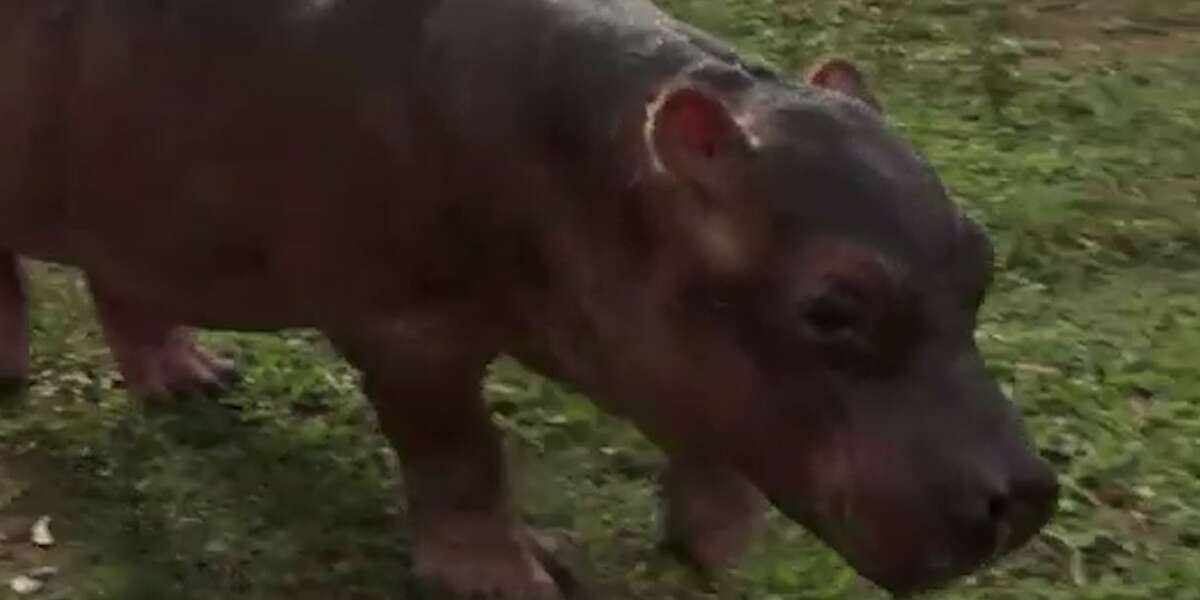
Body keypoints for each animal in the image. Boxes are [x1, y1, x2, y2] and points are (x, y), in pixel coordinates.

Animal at [0, 0, 1058, 597]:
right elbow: (463, 455)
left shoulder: (683, 350)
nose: (1028, 496)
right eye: (831, 308)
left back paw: (198, 380)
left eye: (981, 258)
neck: (606, 162)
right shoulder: (408, 326)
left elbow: (710, 431)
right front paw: (519, 579)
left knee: (120, 277)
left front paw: (722, 551)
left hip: (123, 175)